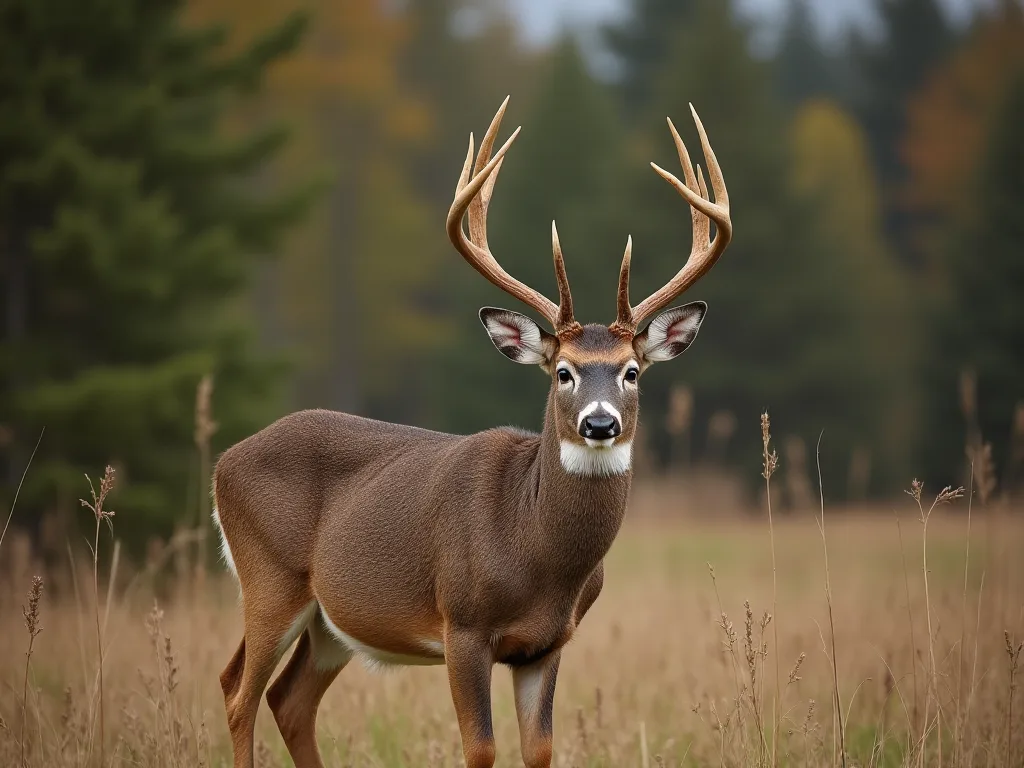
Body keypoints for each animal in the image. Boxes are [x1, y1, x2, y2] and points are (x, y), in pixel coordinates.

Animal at [212, 96, 732, 768]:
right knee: (237, 692)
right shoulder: (461, 623)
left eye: (632, 372)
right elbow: (480, 749)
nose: (599, 422)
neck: (536, 552)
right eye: (563, 372)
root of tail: (224, 462)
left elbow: (540, 750)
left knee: (289, 700)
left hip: (331, 621)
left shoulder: (548, 643)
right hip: (269, 578)